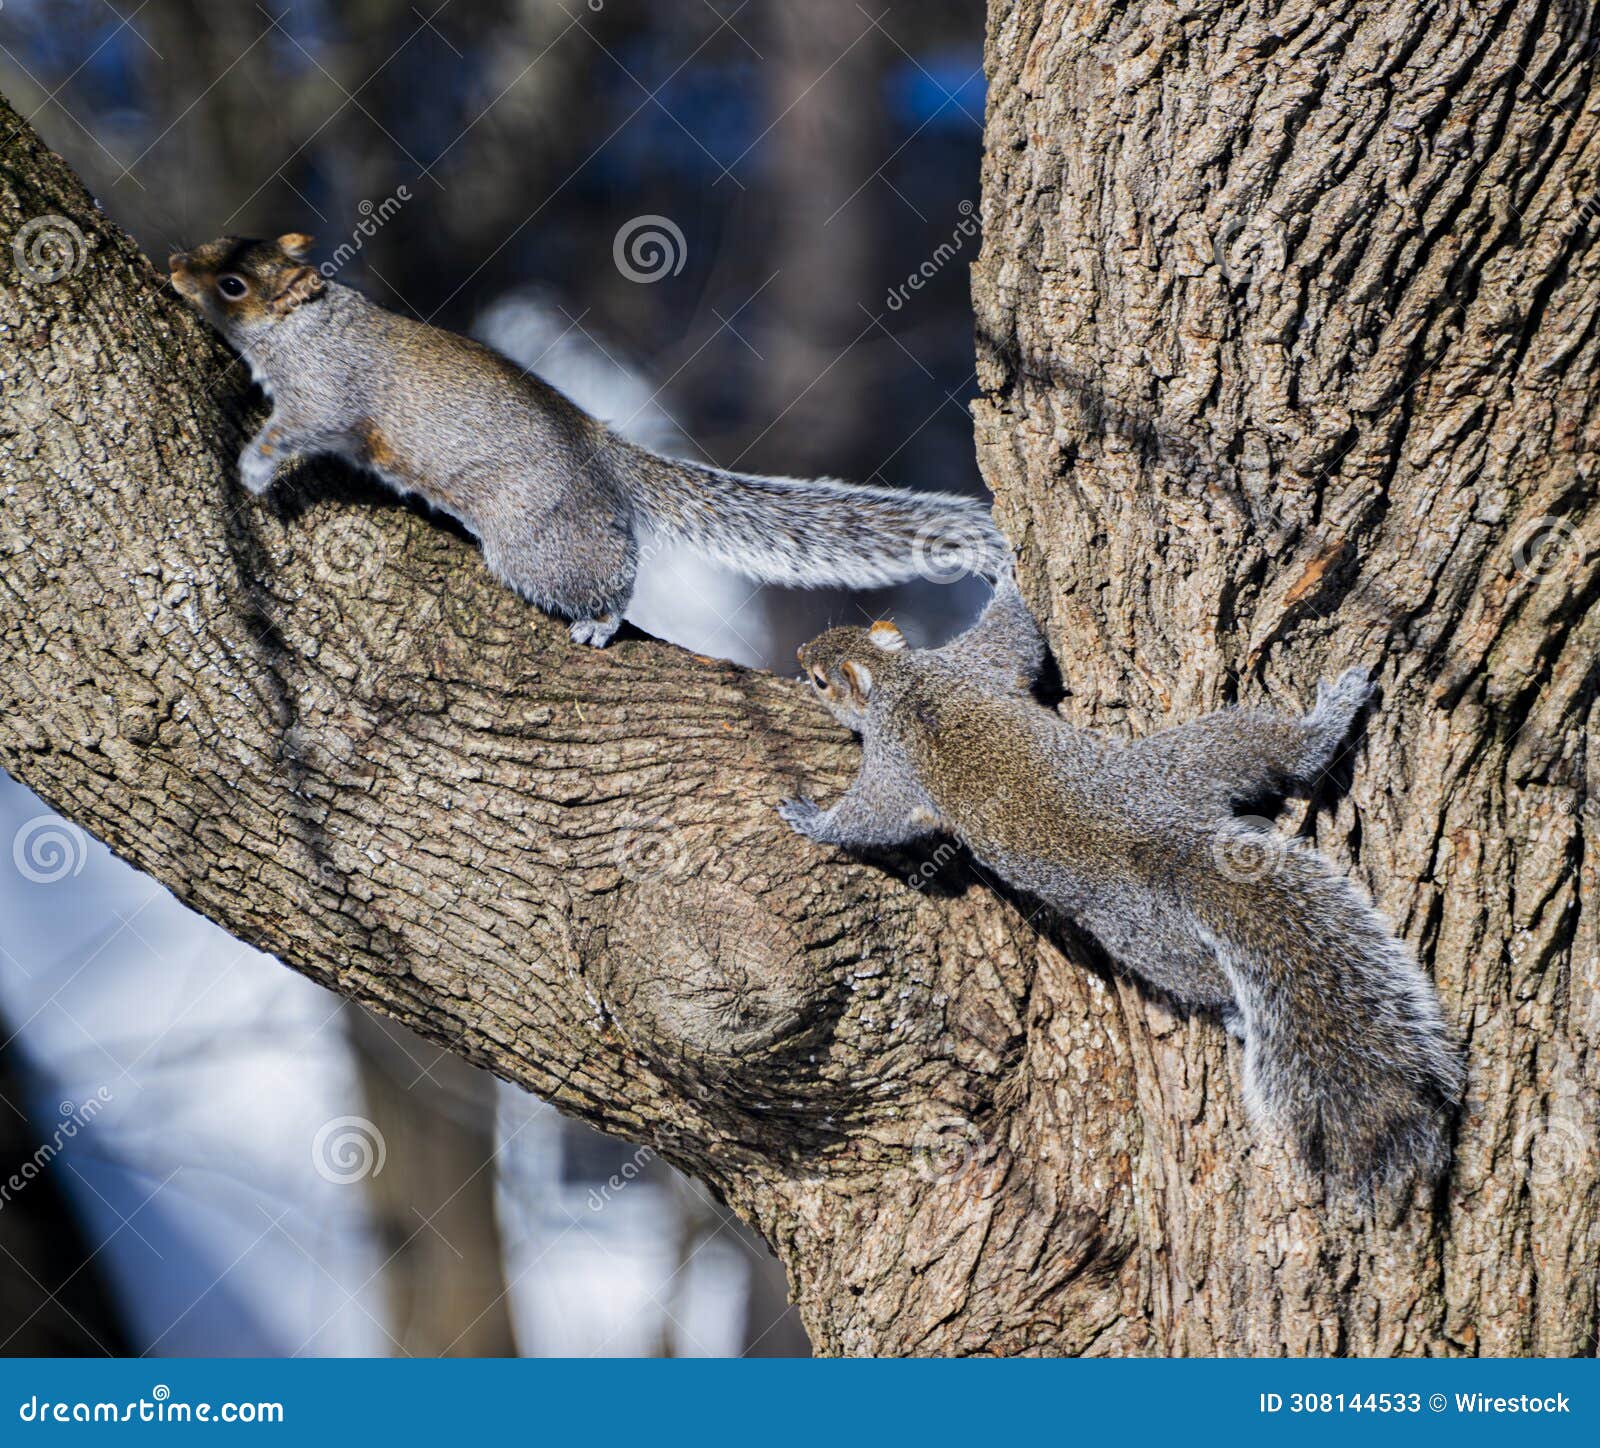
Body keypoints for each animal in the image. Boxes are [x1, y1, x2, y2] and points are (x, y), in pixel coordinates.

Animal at [167, 233, 1005, 647]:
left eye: (235, 285)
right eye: (219, 241)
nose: (174, 265)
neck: (306, 322)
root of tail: (596, 448)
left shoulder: (327, 389)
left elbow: (303, 426)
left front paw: (253, 466)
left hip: (543, 541)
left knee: (605, 571)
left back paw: (600, 619)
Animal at [780, 577, 1464, 1186]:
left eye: (819, 679)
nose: (799, 653)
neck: (898, 681)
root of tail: (1170, 842)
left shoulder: (909, 741)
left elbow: (879, 813)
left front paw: (812, 820)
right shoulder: (972, 669)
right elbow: (1016, 643)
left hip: (1145, 914)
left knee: (1211, 958)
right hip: (1192, 765)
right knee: (1260, 754)